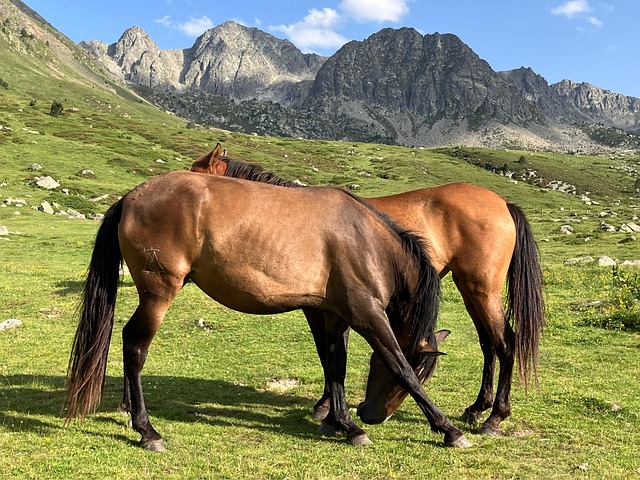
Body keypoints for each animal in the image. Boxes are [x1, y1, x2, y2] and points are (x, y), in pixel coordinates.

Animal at [65, 171, 473, 451]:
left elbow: (335, 367)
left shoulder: (334, 314)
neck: (367, 241)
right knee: (135, 347)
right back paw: (147, 430)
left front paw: (342, 424)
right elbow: (398, 367)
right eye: (422, 369)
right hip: (158, 294)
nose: (371, 414)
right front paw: (449, 429)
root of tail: (131, 198)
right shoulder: (366, 315)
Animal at [190, 144, 545, 436]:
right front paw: (330, 409)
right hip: (470, 290)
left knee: (505, 343)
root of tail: (503, 203)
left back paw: (494, 417)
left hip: (482, 289)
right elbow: (331, 355)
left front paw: (327, 409)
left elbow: (328, 354)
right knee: (488, 344)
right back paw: (477, 408)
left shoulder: (322, 309)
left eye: (194, 173)